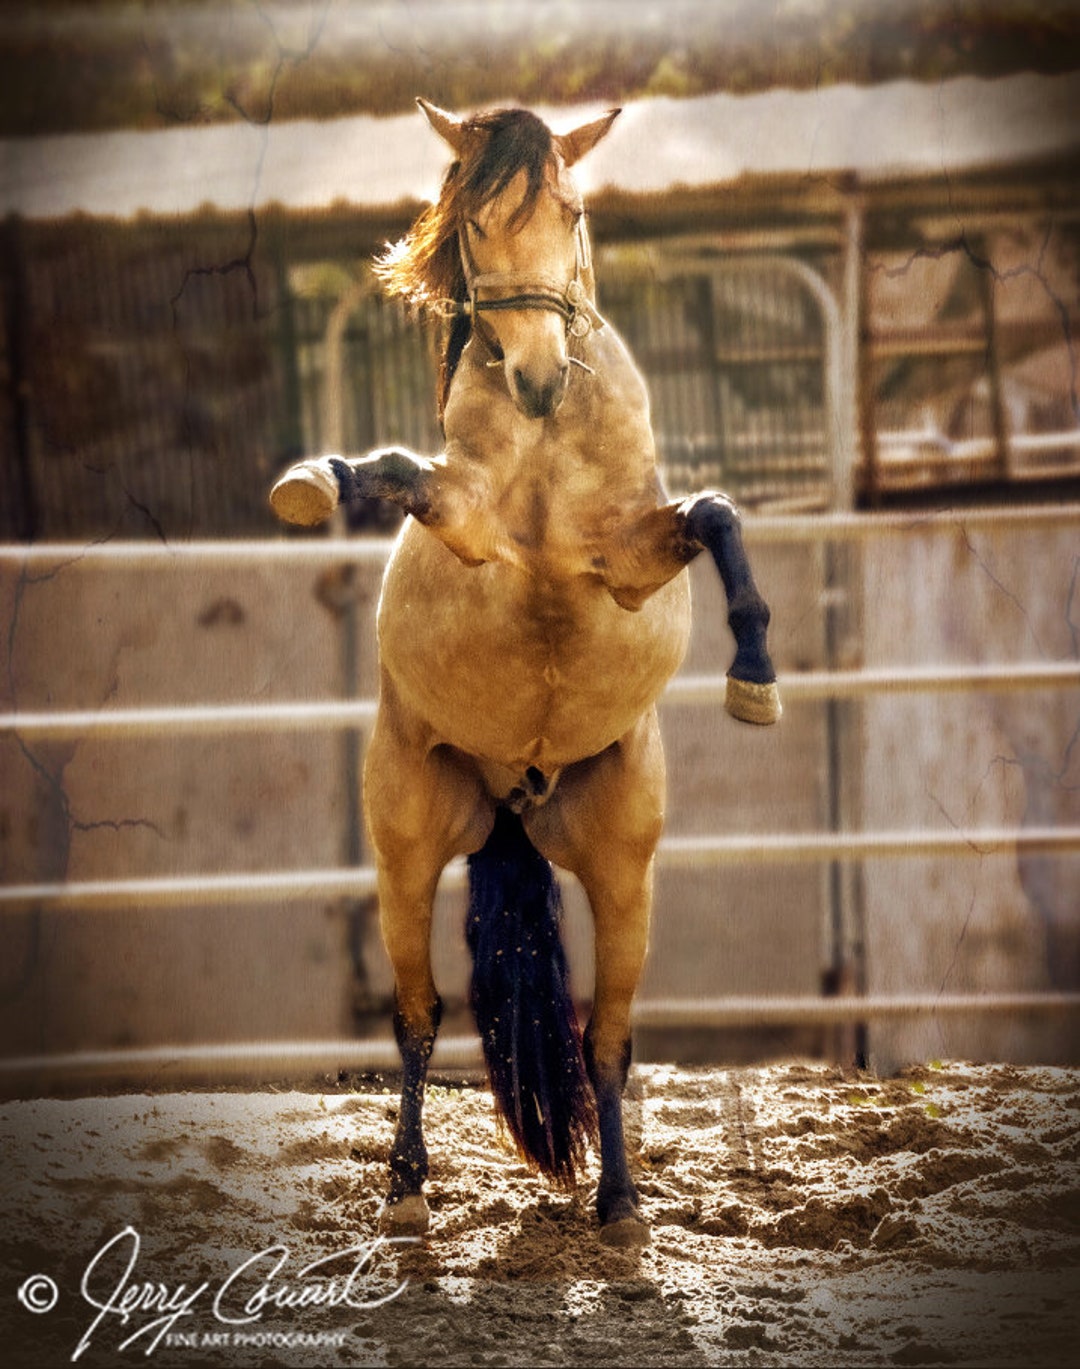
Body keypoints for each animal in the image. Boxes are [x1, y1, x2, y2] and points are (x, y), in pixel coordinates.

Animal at [270, 99, 781, 1246]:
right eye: (475, 223)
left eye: (573, 211)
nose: (542, 377)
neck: (551, 443)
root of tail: (518, 796)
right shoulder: (474, 532)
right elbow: (400, 472)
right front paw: (315, 479)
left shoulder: (629, 560)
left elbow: (716, 512)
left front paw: (757, 671)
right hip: (409, 848)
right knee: (418, 1018)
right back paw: (409, 1186)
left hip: (624, 865)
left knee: (608, 1041)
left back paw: (621, 1202)